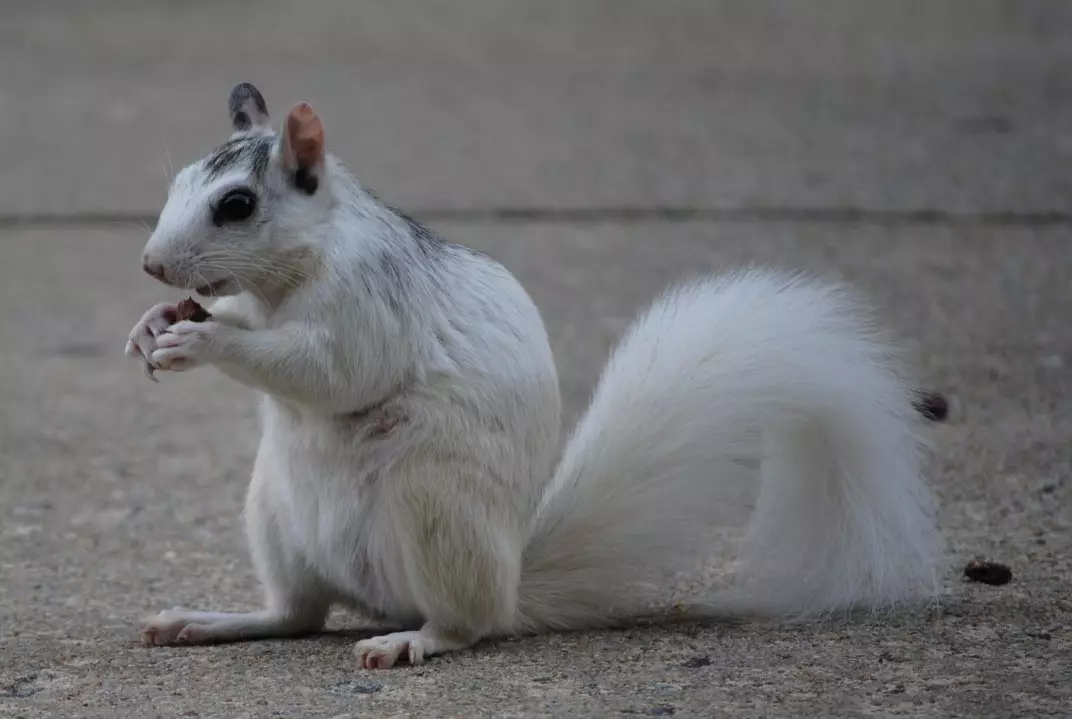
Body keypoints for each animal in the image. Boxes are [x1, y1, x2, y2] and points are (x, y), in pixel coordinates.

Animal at [125, 83, 943, 668]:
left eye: (237, 204)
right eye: (179, 180)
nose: (152, 265)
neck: (291, 276)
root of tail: (512, 584)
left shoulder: (370, 306)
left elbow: (328, 370)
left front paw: (201, 341)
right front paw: (154, 324)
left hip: (433, 508)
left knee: (465, 623)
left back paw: (415, 640)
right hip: (273, 512)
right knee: (297, 613)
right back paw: (210, 621)